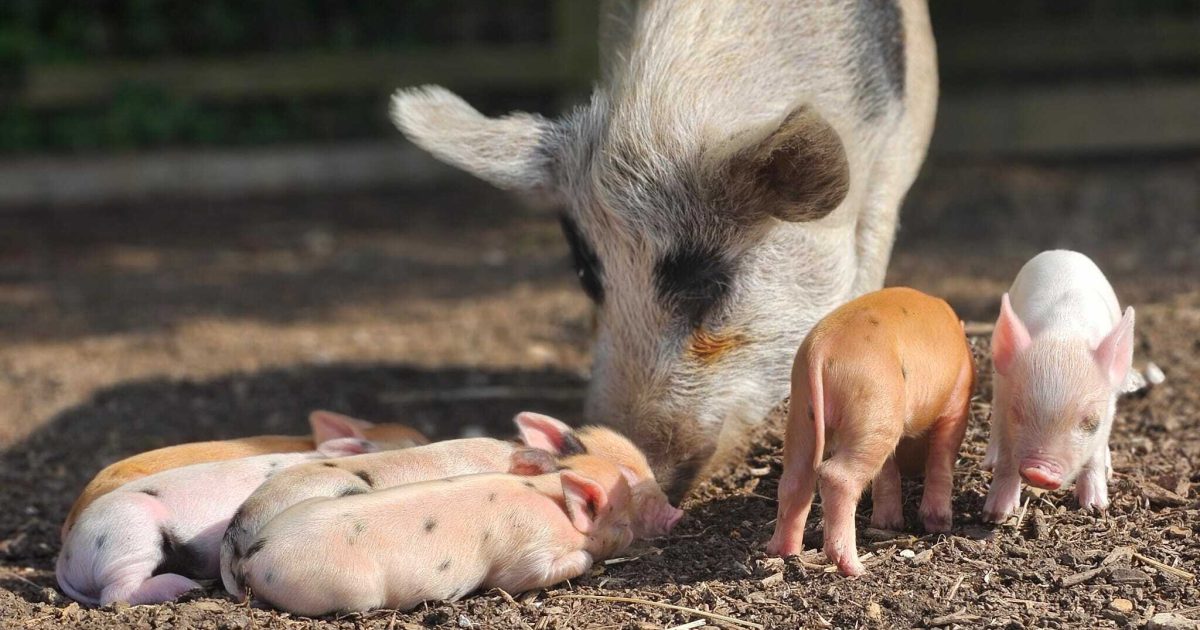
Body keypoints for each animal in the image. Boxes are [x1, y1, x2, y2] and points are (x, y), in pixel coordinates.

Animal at [235, 455, 636, 615]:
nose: (635, 535)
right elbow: (562, 564)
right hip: (349, 587)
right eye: (623, 518)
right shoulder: (526, 557)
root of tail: (254, 556)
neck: (551, 498)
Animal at [767, 287, 974, 576]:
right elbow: (942, 457)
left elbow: (886, 473)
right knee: (836, 476)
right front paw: (939, 525)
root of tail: (821, 349)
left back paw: (783, 553)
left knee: (795, 479)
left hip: (806, 413)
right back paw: (856, 568)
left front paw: (887, 525)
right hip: (875, 404)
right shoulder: (957, 401)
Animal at [981, 250, 1135, 522]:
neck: (1064, 334)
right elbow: (1007, 458)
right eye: (1016, 412)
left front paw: (1096, 507)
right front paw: (995, 515)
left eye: (1091, 422)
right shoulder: (1005, 396)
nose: (1039, 471)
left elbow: (1094, 457)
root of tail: (1063, 252)